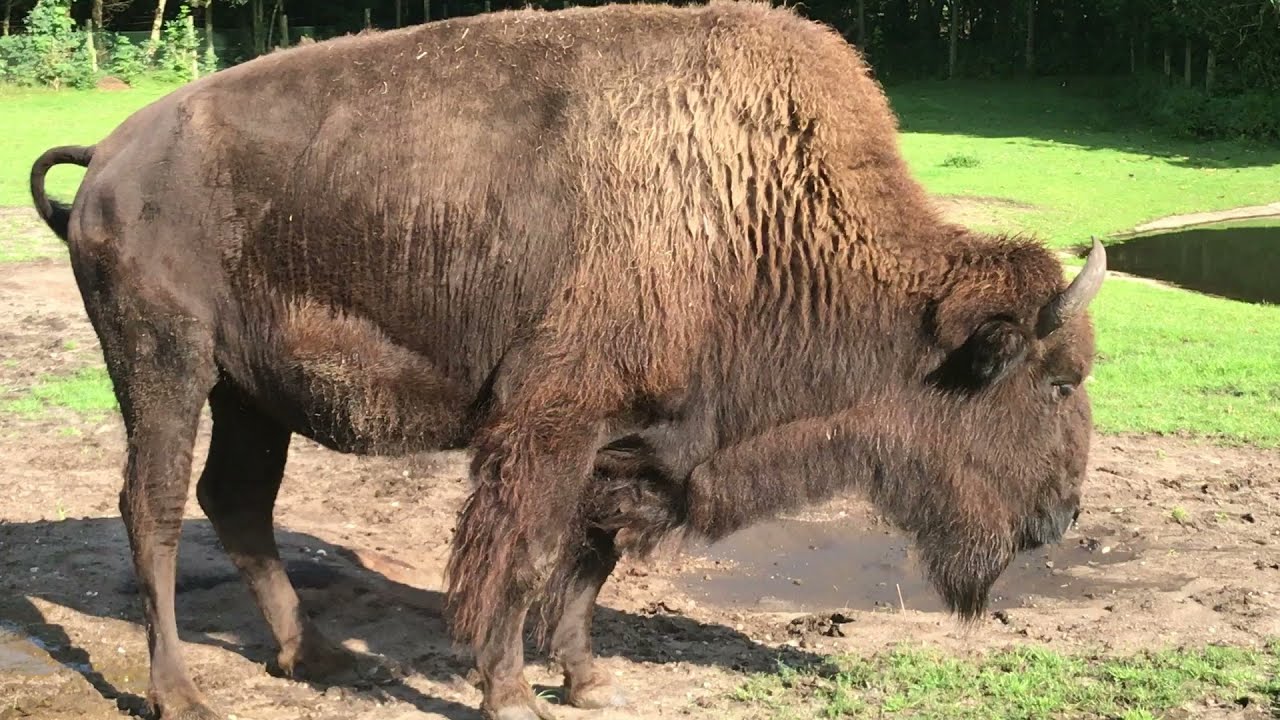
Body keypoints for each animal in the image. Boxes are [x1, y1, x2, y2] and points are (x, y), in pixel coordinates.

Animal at [28, 2, 1104, 719]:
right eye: (1057, 383)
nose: (1057, 520)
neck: (754, 214)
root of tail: (111, 158)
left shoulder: (623, 443)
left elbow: (588, 560)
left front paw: (586, 676)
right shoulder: (547, 428)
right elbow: (525, 556)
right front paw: (511, 693)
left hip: (252, 396)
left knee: (237, 501)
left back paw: (316, 657)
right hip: (165, 363)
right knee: (154, 509)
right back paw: (178, 693)